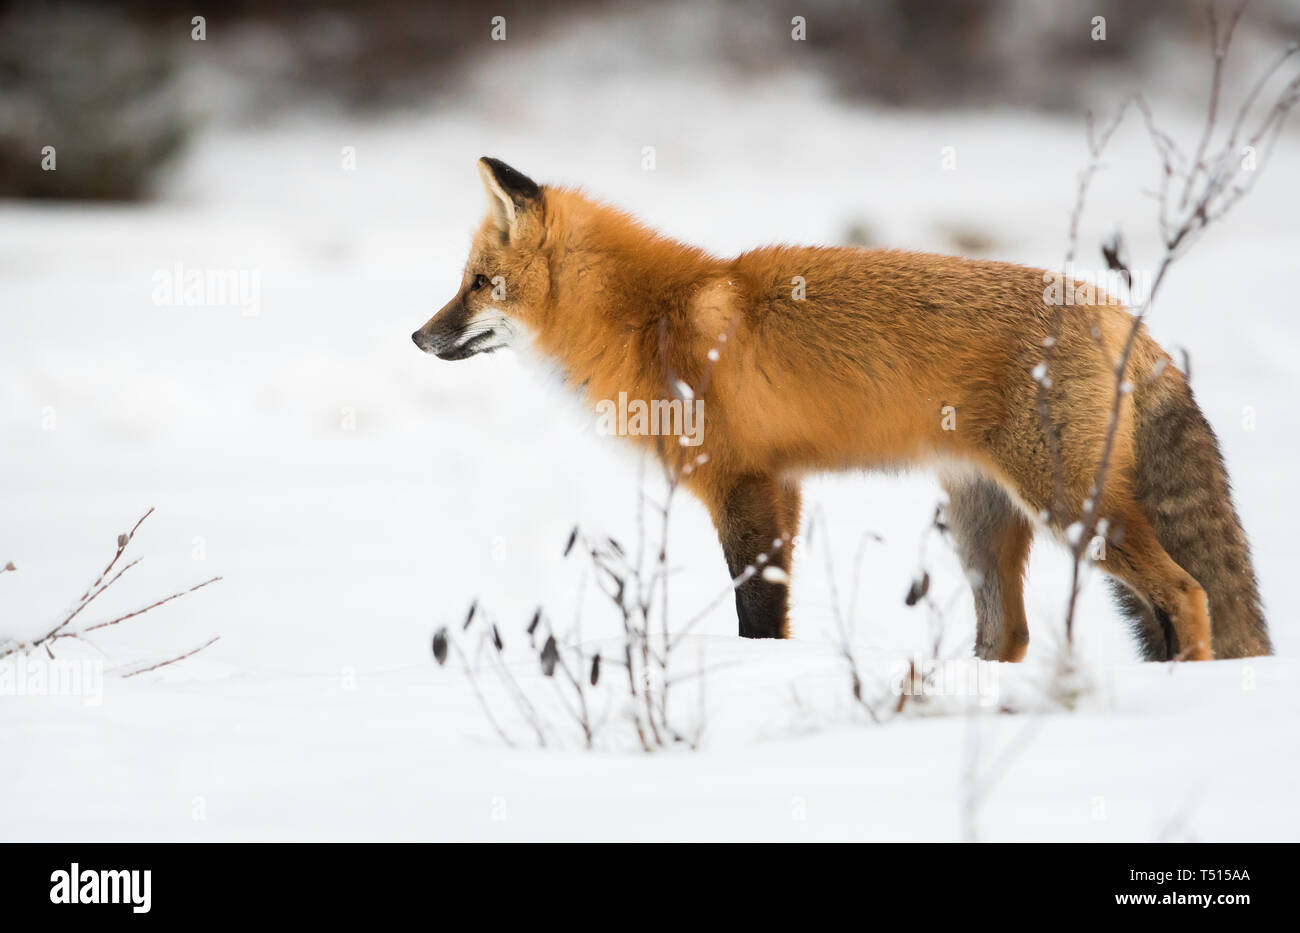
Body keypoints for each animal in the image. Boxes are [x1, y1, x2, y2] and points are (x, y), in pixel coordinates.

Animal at [412, 157, 1272, 662]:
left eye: (479, 284)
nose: (419, 336)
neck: (648, 317)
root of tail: (1126, 316)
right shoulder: (782, 485)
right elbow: (775, 617)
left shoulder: (743, 484)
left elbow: (757, 616)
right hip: (983, 521)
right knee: (1011, 631)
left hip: (1073, 508)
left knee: (1187, 592)